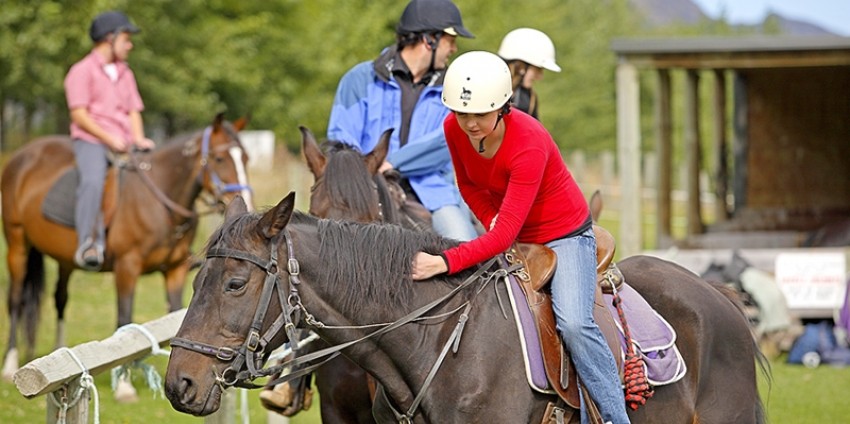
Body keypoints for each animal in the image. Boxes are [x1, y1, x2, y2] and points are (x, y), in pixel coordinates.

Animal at [1, 113, 253, 380]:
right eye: (219, 158)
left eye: (246, 158)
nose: (246, 201)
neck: (161, 202)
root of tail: (24, 154)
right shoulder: (127, 267)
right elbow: (124, 320)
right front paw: (124, 384)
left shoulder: (175, 270)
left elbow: (176, 314)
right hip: (17, 244)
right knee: (15, 299)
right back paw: (10, 363)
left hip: (65, 259)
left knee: (60, 298)